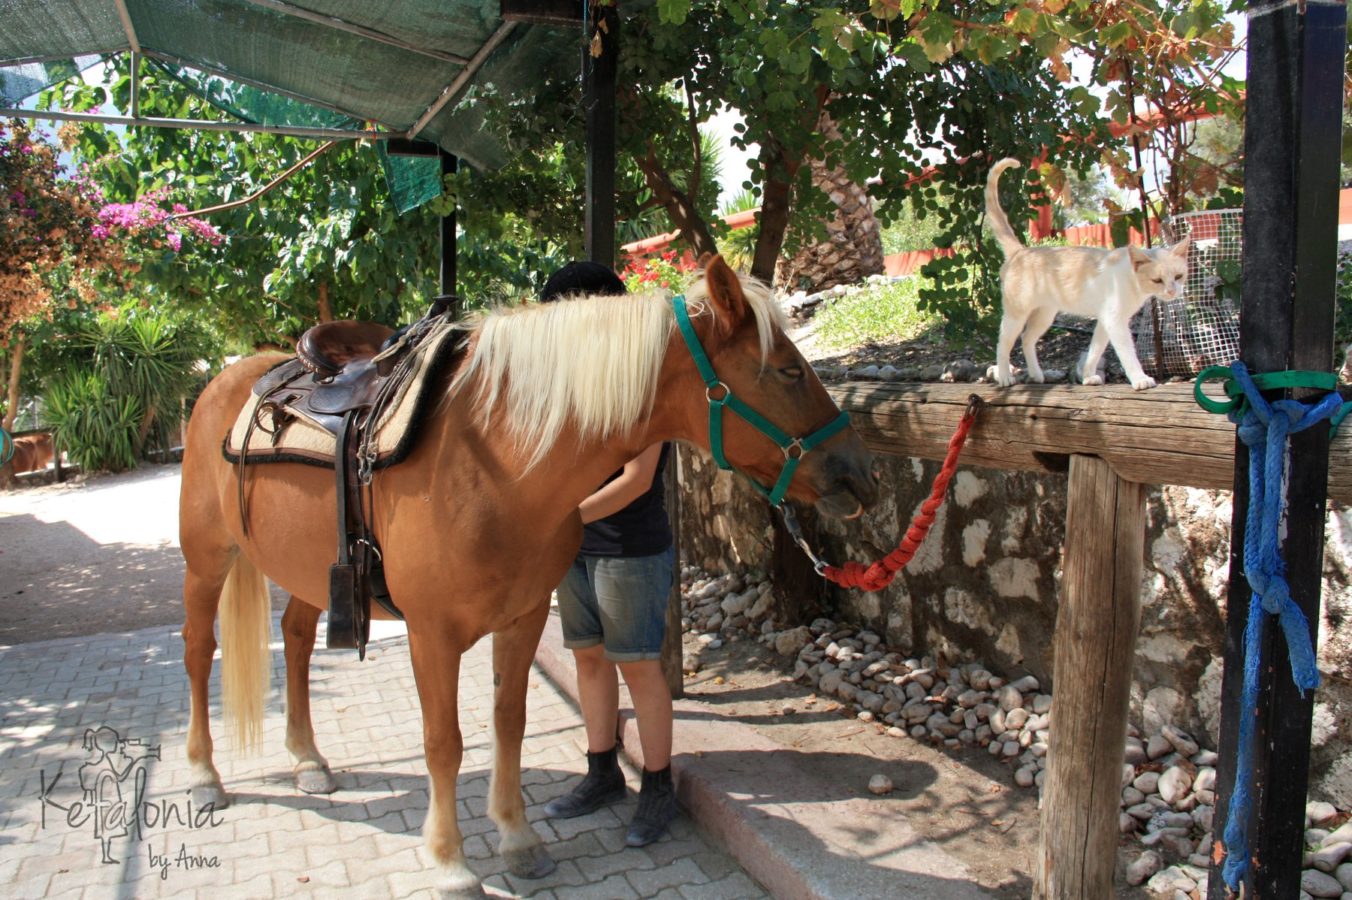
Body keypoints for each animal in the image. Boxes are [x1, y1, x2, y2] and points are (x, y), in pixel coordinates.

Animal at [177, 256, 879, 893]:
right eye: (788, 370)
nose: (860, 472)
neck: (491, 462)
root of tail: (230, 378)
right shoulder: (430, 636)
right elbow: (443, 742)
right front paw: (451, 863)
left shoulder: (522, 617)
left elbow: (507, 725)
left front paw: (516, 839)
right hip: (205, 561)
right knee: (198, 651)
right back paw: (204, 777)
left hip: (307, 571)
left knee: (296, 639)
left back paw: (306, 759)